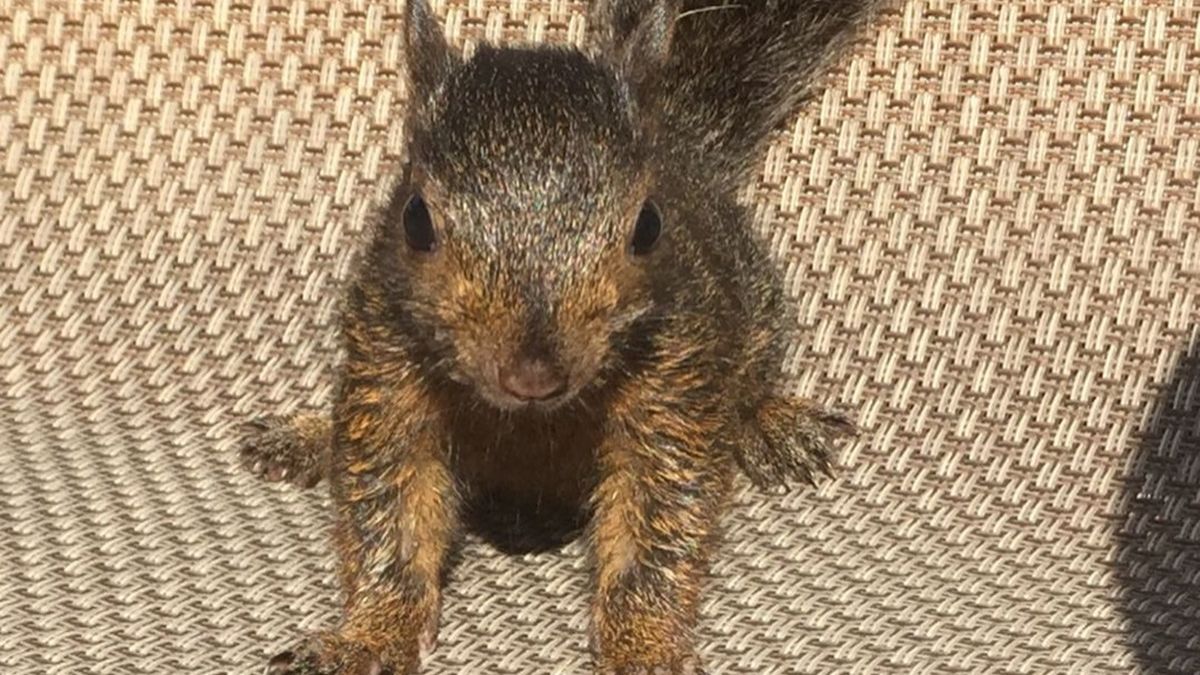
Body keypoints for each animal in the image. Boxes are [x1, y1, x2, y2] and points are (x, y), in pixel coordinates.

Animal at [240, 0, 873, 672]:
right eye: (414, 219)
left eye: (650, 225)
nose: (533, 374)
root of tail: (679, 137)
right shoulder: (386, 371)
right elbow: (390, 514)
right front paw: (367, 636)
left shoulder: (675, 384)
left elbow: (658, 522)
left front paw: (644, 645)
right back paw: (304, 437)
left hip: (754, 306)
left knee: (749, 383)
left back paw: (775, 426)